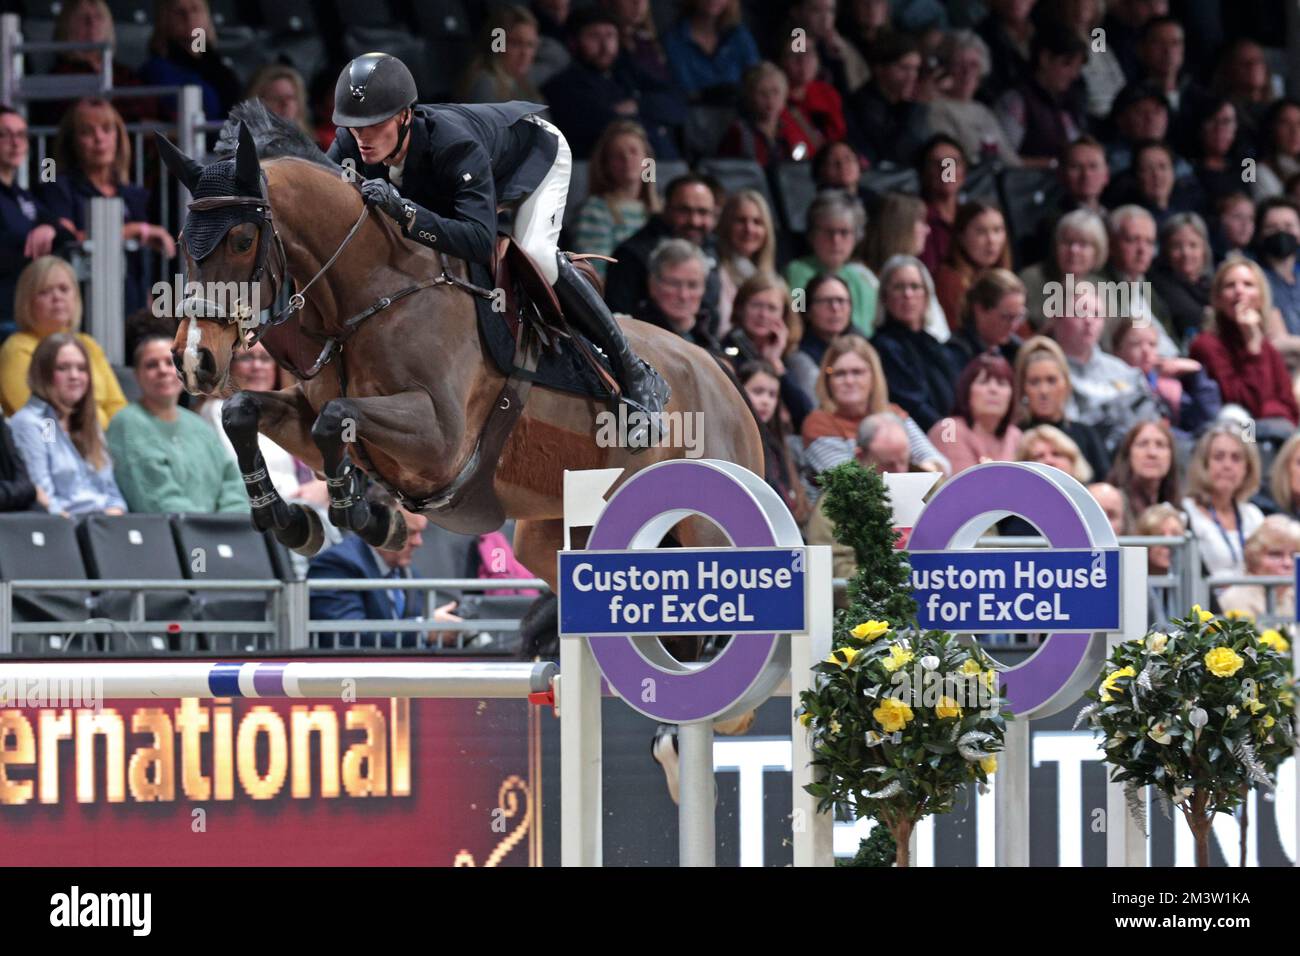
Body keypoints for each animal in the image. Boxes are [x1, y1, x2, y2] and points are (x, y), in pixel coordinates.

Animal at [155, 102, 763, 598]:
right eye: (183, 240)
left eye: (241, 240)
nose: (194, 359)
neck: (372, 293)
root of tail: (722, 379)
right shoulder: (313, 415)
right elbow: (243, 411)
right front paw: (293, 521)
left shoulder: (441, 441)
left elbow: (336, 419)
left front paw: (360, 512)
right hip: (554, 534)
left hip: (706, 527)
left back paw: (642, 390)